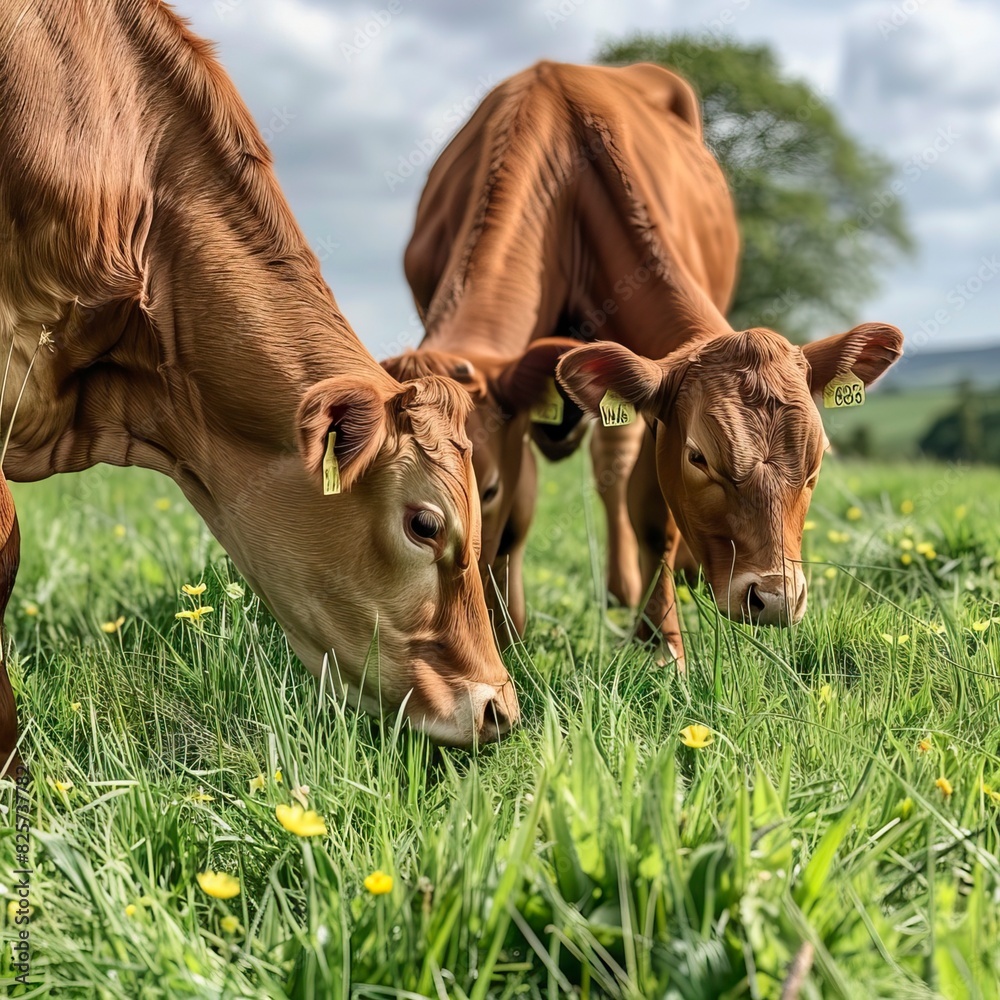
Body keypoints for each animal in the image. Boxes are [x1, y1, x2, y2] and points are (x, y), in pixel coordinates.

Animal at [388, 60, 902, 665]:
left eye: (817, 458)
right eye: (699, 457)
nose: (775, 599)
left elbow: (651, 514)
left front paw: (660, 644)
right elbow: (523, 509)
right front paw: (507, 634)